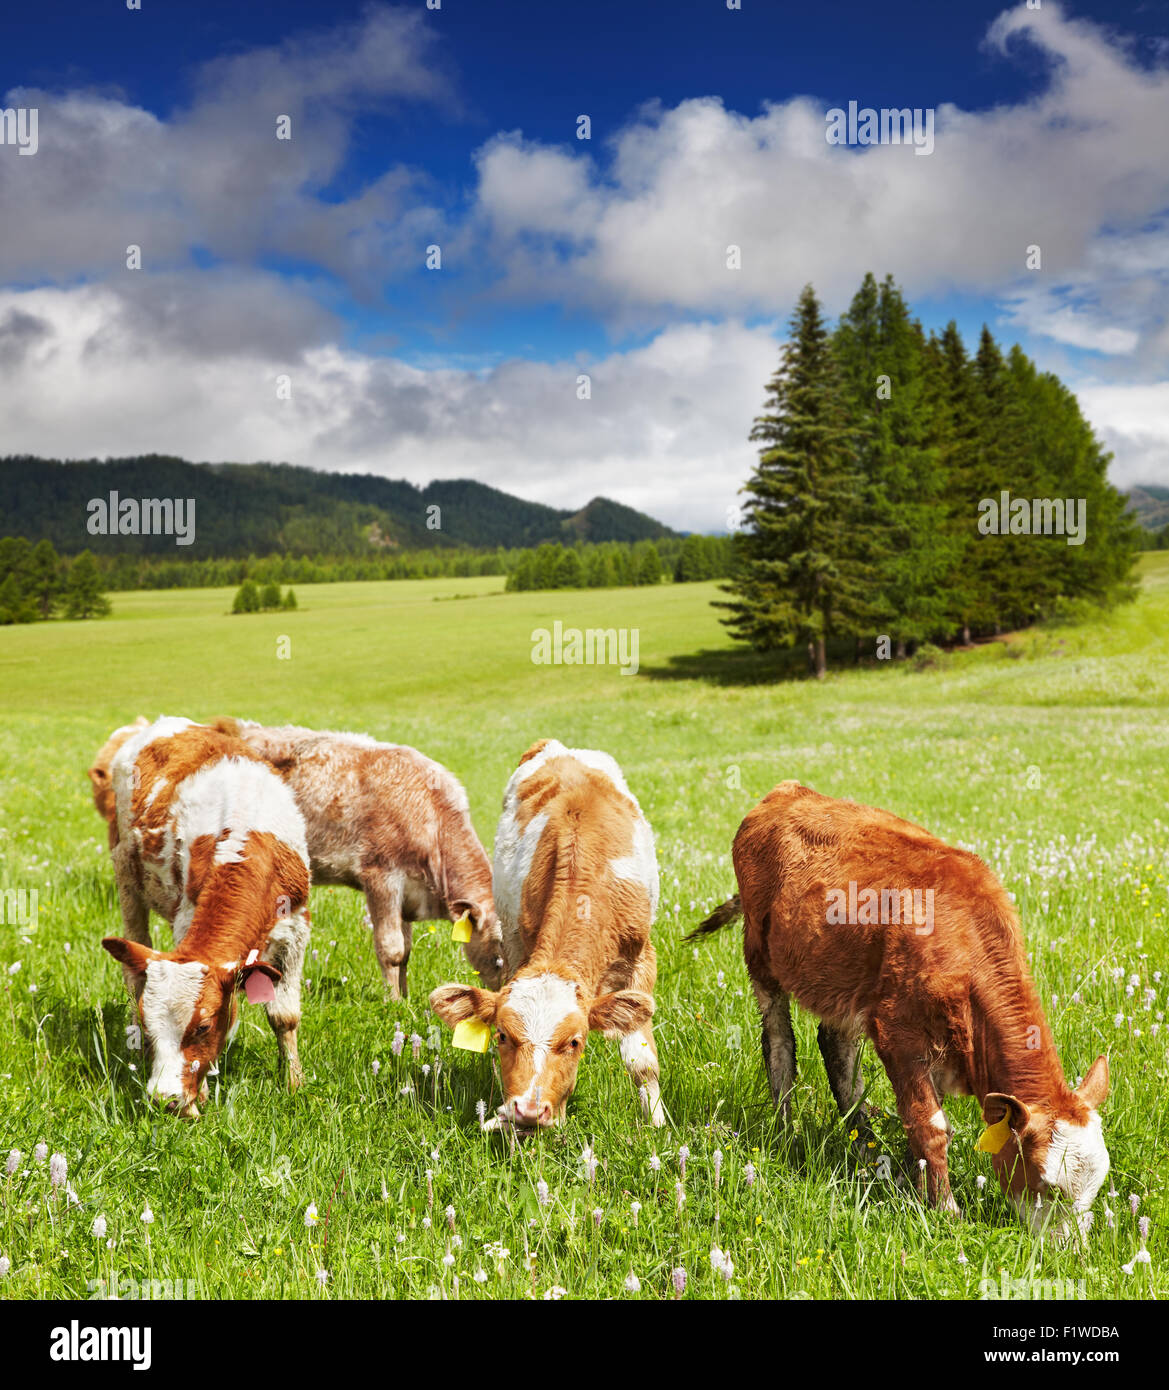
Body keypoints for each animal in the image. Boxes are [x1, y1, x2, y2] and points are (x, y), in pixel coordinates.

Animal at [97, 716, 312, 1117]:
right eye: (151, 1025)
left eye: (203, 1026)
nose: (165, 1101)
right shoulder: (186, 917)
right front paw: (203, 1098)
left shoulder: (295, 931)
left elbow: (284, 1016)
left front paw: (295, 1083)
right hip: (125, 874)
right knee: (134, 969)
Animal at [209, 719, 505, 999]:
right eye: (500, 954)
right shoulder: (381, 876)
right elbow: (392, 949)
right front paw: (393, 1002)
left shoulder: (407, 895)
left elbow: (406, 950)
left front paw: (406, 996)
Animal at [429, 739, 664, 1130]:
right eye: (502, 1035)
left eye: (575, 1042)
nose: (528, 1110)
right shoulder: (515, 950)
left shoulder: (641, 958)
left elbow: (641, 1062)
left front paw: (657, 1126)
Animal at [689, 780, 1110, 1238]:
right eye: (1047, 1185)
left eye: (1096, 1188)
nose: (1069, 1250)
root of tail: (790, 791)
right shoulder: (897, 1032)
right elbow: (930, 1125)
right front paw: (945, 1209)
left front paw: (914, 1181)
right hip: (761, 958)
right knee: (779, 1042)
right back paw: (785, 1129)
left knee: (836, 1048)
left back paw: (865, 1146)